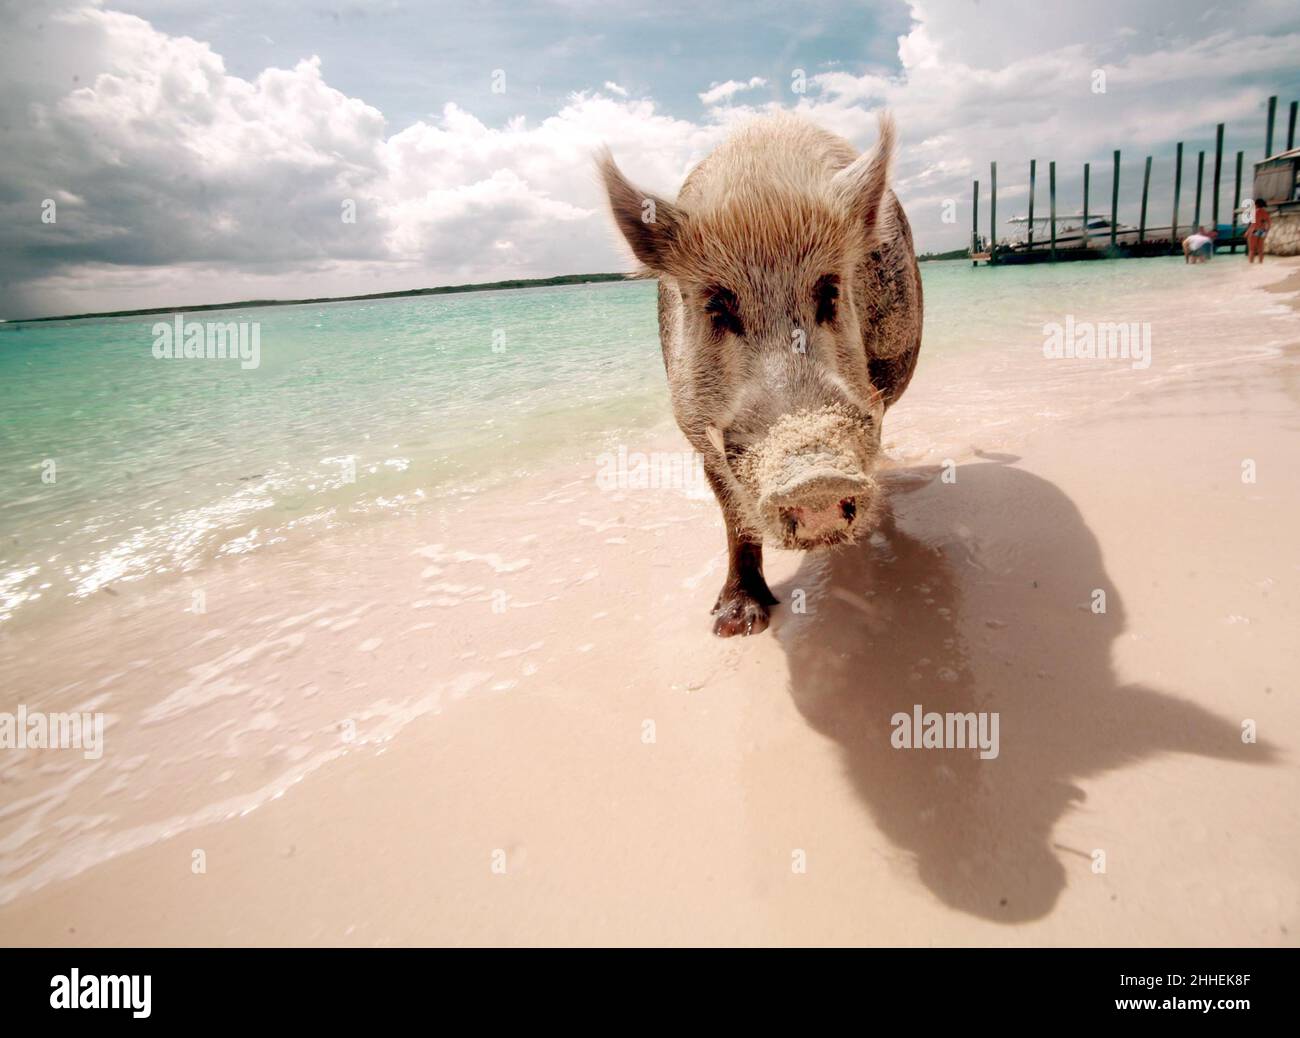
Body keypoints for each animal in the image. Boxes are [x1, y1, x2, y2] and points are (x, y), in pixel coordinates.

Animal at [597, 112, 922, 636]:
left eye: (830, 292)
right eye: (716, 307)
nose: (816, 477)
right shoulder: (699, 432)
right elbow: (734, 516)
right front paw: (737, 625)